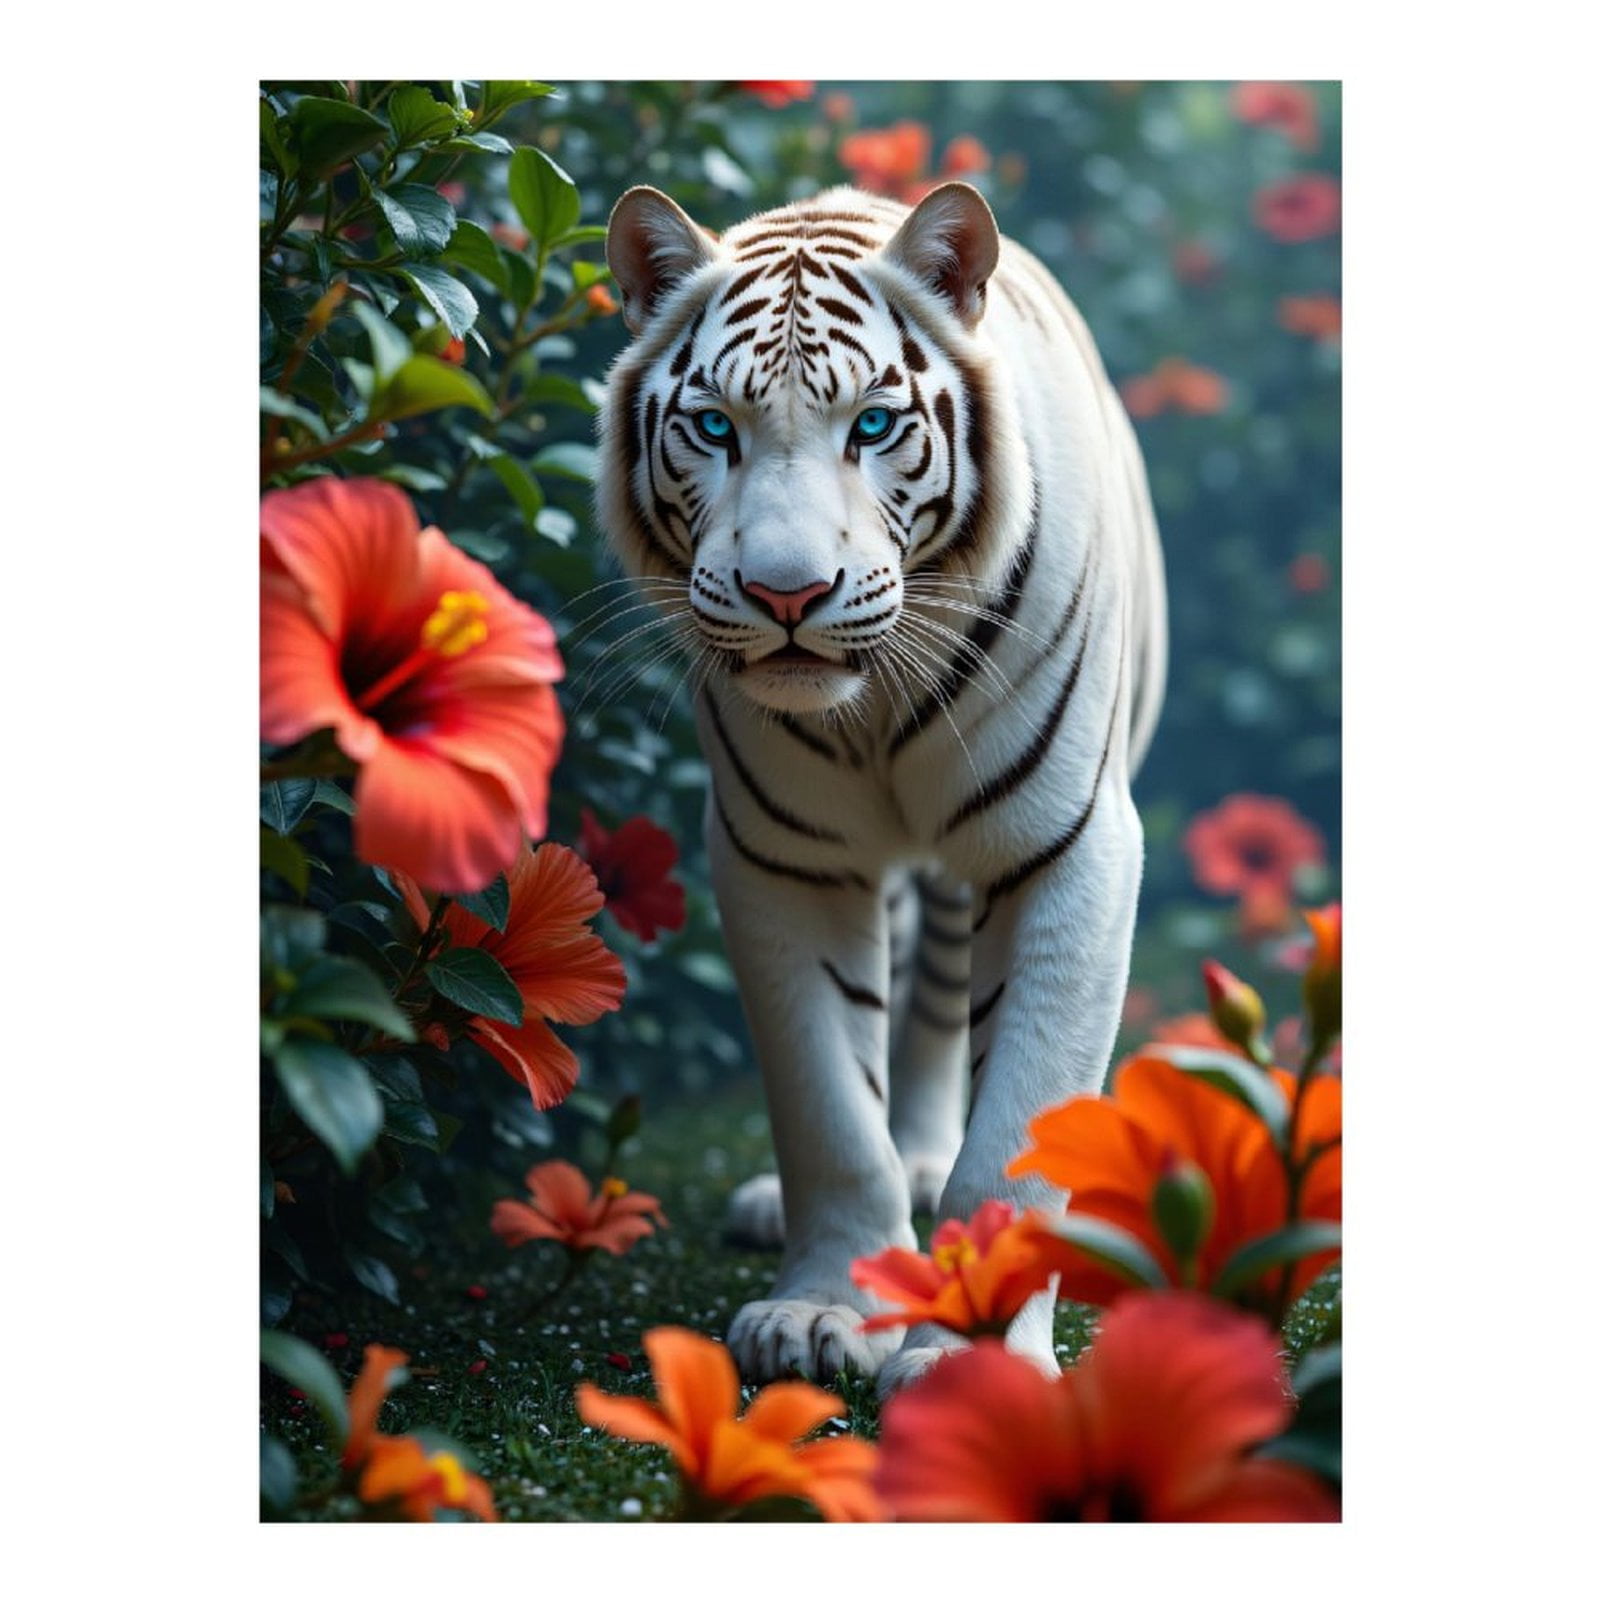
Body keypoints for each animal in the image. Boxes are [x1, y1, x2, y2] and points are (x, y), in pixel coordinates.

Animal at [594, 180, 1166, 1395]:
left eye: (871, 425)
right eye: (713, 427)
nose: (787, 593)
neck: (873, 712)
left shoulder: (1070, 850)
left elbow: (1011, 1139)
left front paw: (965, 1354)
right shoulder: (785, 858)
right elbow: (828, 1112)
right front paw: (820, 1308)